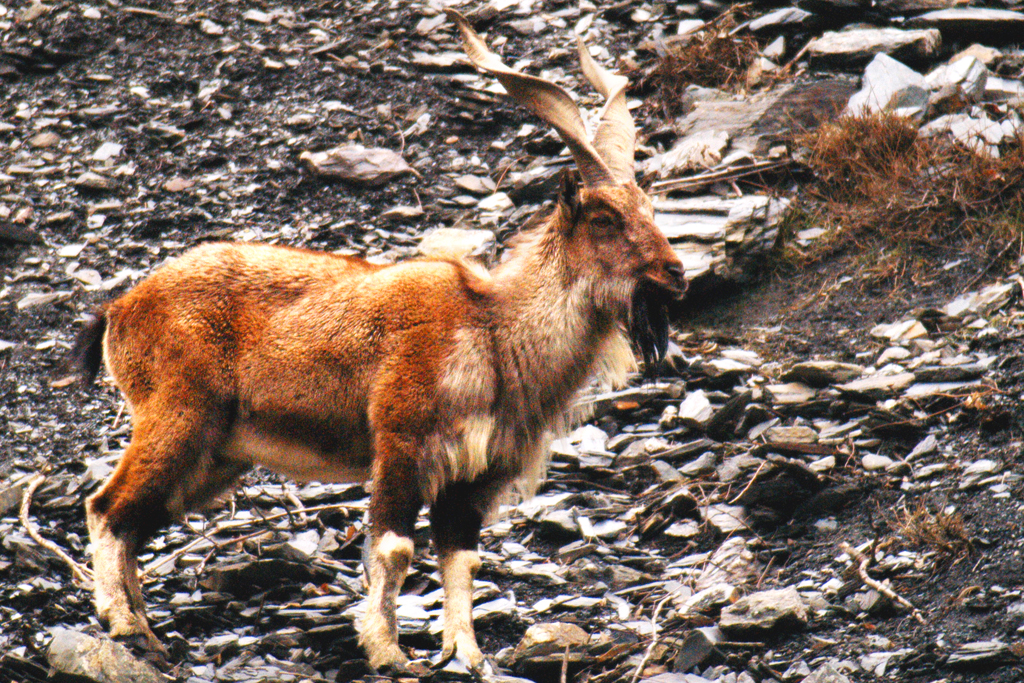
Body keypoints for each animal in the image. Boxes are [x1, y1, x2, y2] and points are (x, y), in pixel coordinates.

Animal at [67, 10, 686, 673]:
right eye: (603, 218)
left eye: (650, 207)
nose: (676, 273)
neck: (495, 334)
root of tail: (121, 308)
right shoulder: (402, 445)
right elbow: (393, 550)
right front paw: (388, 652)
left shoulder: (476, 476)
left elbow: (461, 560)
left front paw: (468, 655)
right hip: (175, 416)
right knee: (106, 507)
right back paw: (123, 624)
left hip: (217, 454)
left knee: (138, 518)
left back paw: (148, 633)